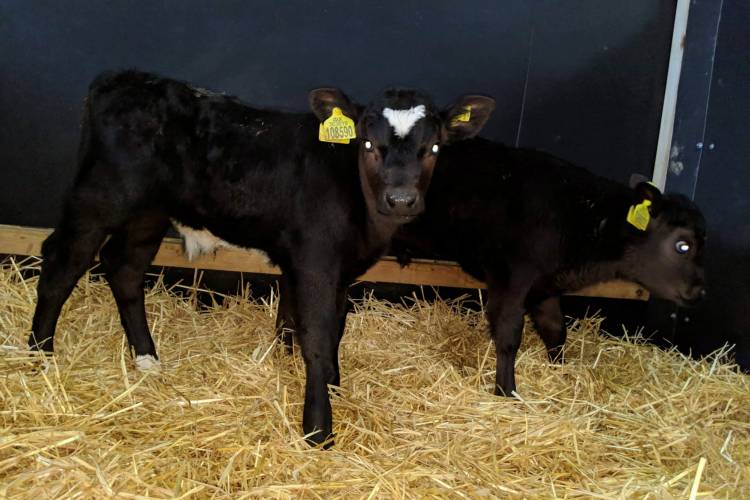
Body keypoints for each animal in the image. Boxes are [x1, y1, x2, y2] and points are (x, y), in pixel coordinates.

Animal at [28, 70, 496, 447]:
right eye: (367, 143)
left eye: (433, 148)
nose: (401, 199)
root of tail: (121, 77)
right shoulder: (315, 264)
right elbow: (317, 340)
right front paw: (318, 429)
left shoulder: (340, 270)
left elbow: (335, 332)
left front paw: (335, 388)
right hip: (99, 197)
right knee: (61, 263)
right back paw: (39, 357)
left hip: (149, 211)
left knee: (124, 267)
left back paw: (146, 359)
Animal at [392, 138, 706, 396]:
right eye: (683, 245)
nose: (700, 291)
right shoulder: (511, 279)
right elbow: (508, 334)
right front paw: (506, 391)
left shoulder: (545, 286)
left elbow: (556, 329)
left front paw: (560, 370)